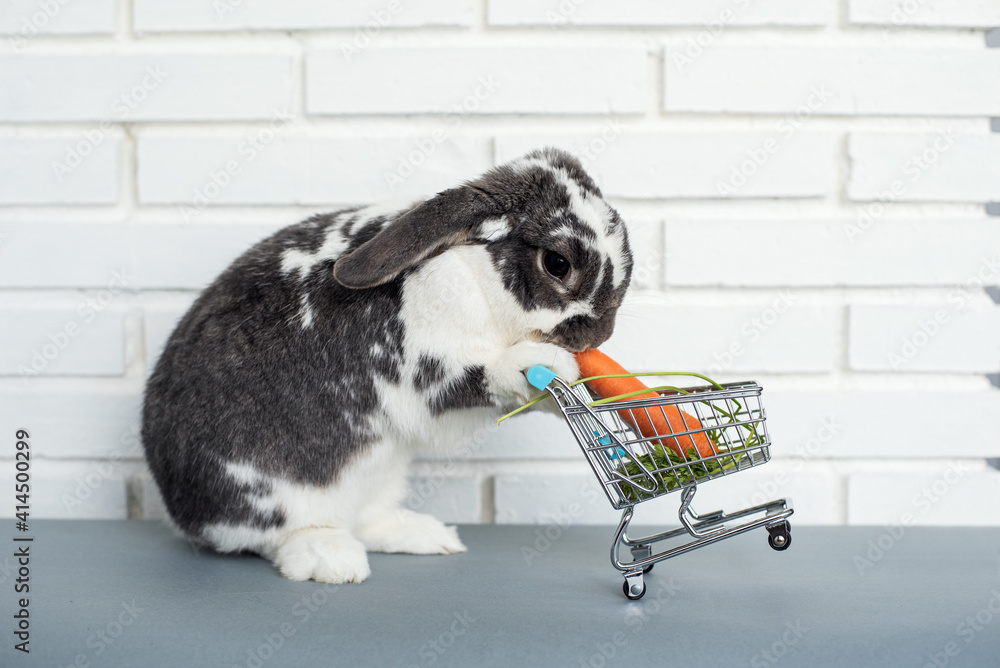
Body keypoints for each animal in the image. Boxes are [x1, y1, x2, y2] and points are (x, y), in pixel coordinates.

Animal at [142, 147, 633, 584]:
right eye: (557, 263)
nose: (596, 337)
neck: (474, 272)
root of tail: (183, 512)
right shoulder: (423, 377)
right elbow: (483, 377)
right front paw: (544, 364)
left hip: (383, 476)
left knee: (366, 520)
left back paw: (428, 536)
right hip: (271, 494)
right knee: (277, 537)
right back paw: (331, 560)